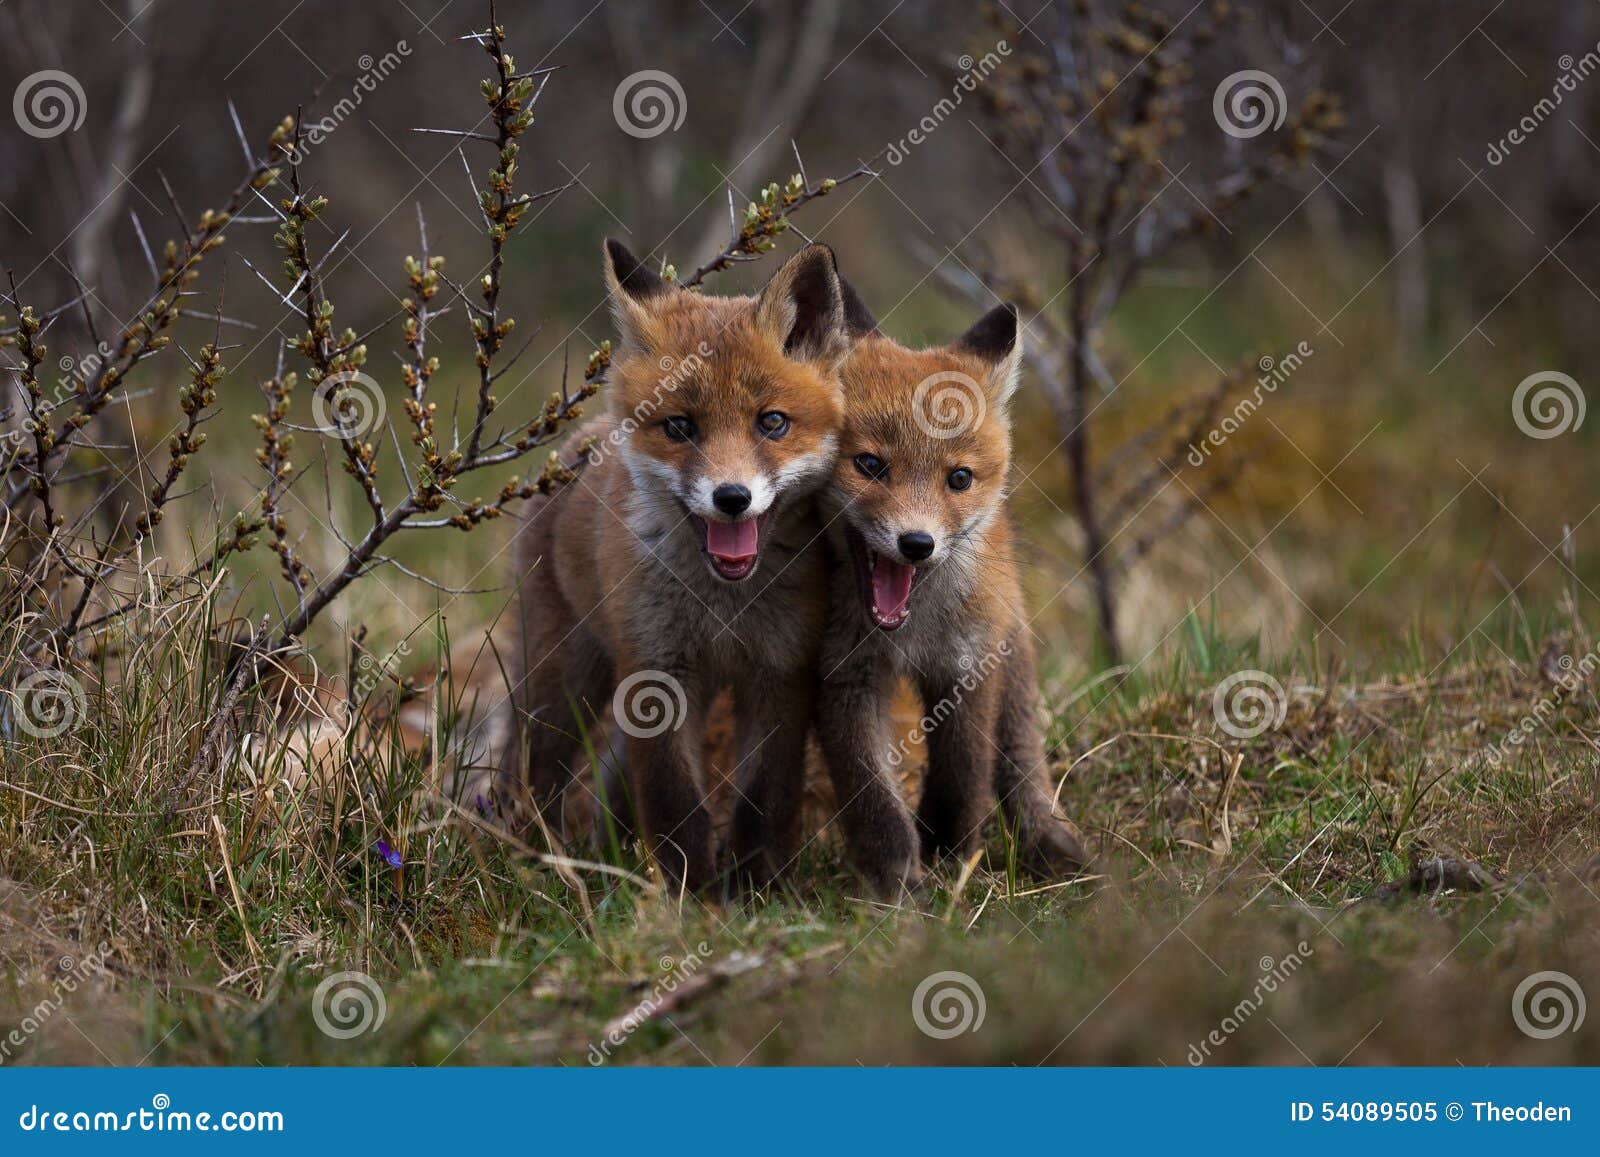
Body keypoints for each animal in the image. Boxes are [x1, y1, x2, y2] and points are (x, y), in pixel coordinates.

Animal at [500, 239, 855, 894]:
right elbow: (674, 804)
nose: (732, 497)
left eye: (772, 422)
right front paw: (693, 896)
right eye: (681, 427)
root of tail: (582, 437)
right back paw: (533, 854)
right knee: (533, 769)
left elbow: (764, 799)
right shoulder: (657, 670)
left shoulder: (781, 672)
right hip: (565, 677)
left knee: (610, 776)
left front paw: (758, 889)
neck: (722, 605)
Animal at [816, 287, 1090, 896]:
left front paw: (953, 855)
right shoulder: (843, 677)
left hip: (1012, 651)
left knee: (1022, 765)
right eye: (870, 465)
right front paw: (899, 881)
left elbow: (964, 775)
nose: (916, 543)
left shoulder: (969, 665)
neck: (911, 630)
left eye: (958, 479)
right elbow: (873, 800)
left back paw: (1051, 842)